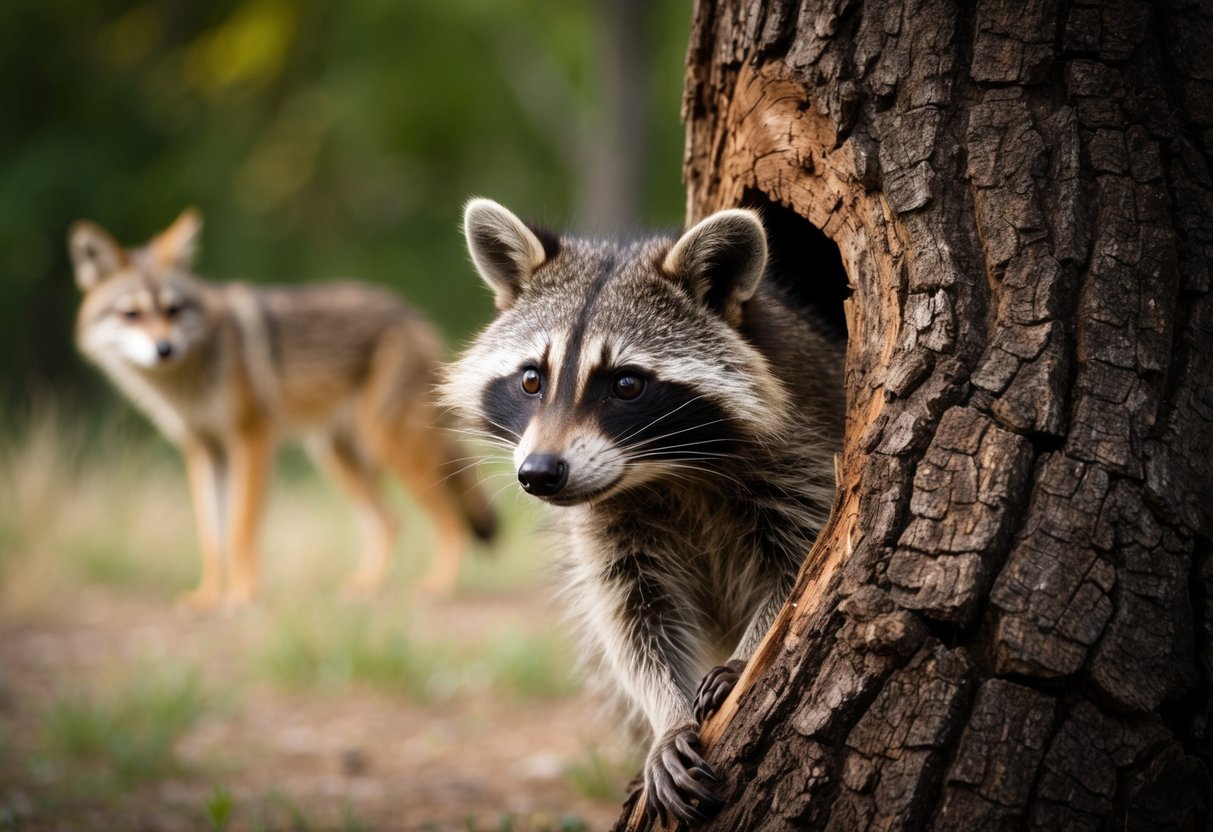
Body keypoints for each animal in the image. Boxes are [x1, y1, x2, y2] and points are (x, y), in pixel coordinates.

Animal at [445, 199, 844, 822]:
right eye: (532, 379)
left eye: (627, 384)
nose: (539, 473)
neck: (664, 473)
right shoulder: (607, 523)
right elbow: (632, 619)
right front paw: (666, 716)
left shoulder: (804, 459)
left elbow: (801, 573)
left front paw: (750, 652)